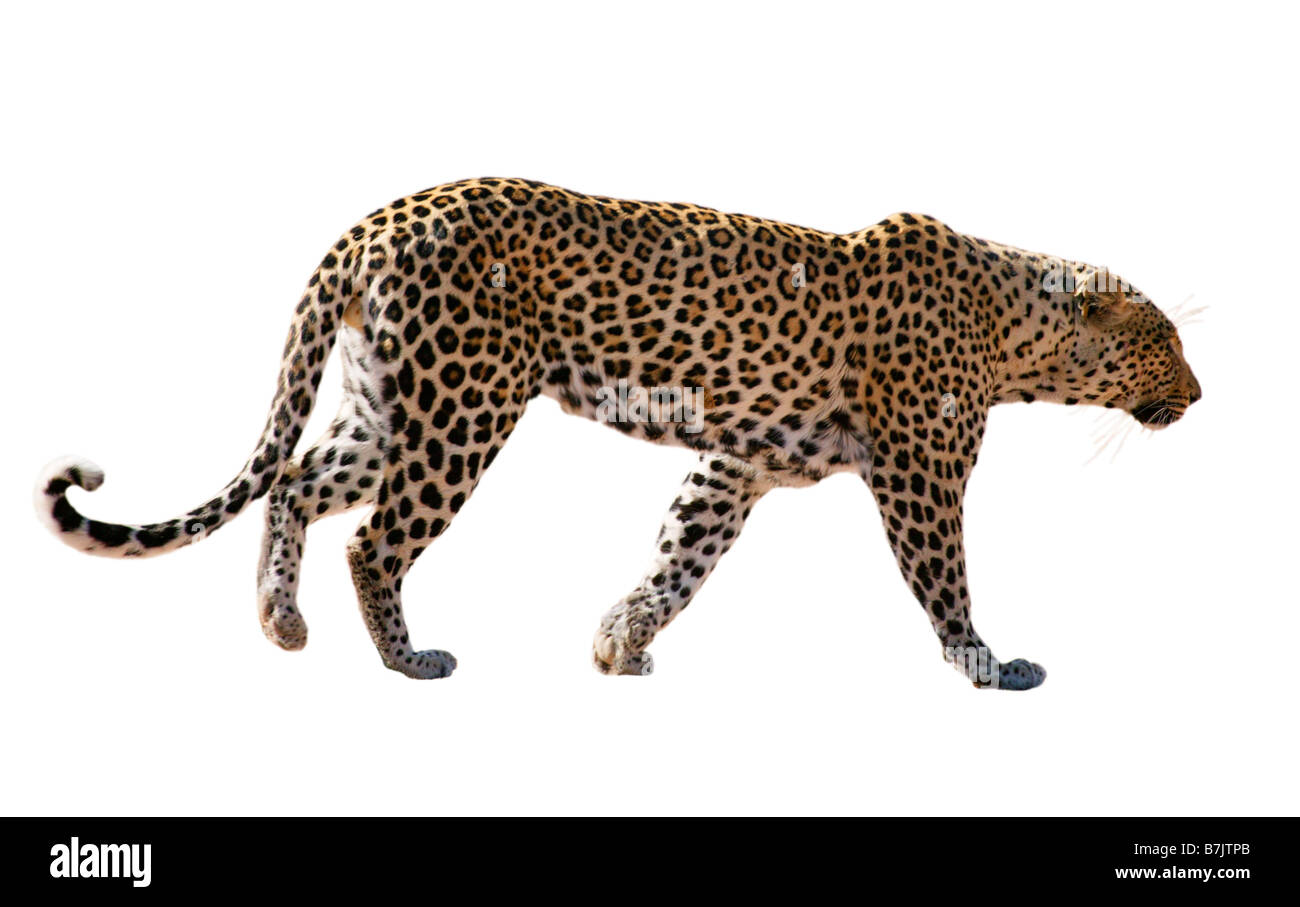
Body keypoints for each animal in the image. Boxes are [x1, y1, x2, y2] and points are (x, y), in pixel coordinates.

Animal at [35, 178, 1201, 688]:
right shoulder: (920, 473)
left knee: (298, 484)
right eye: (1165, 339)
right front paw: (988, 663)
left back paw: (281, 623)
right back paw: (409, 658)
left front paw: (620, 641)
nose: (1199, 392)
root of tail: (372, 220)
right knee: (375, 537)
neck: (1015, 329)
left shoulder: (737, 464)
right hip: (463, 407)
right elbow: (945, 575)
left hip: (387, 401)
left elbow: (679, 556)